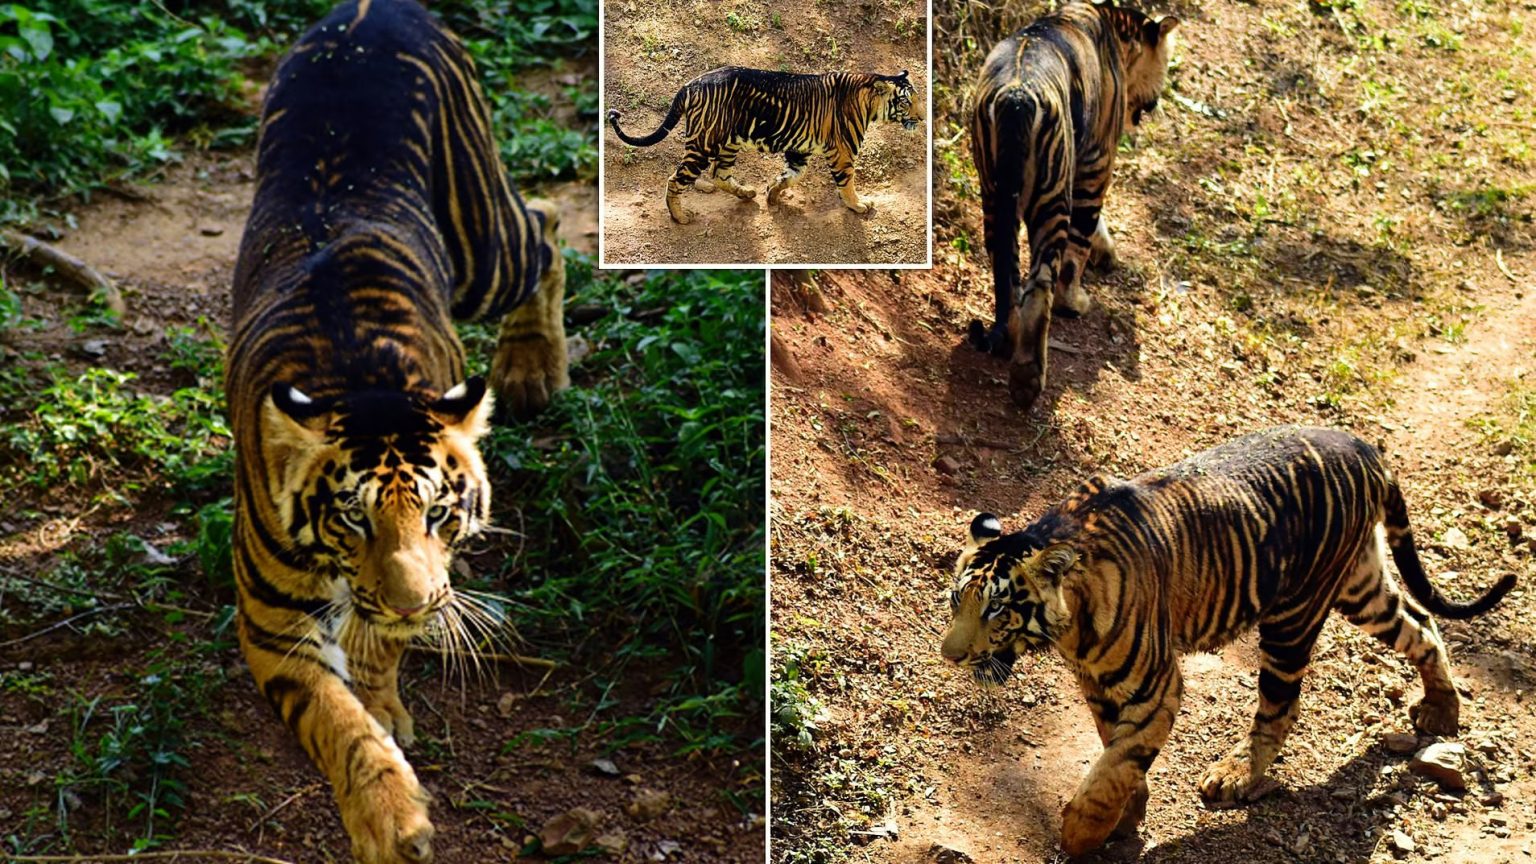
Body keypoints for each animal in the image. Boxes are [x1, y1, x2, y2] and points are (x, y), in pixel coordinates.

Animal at [226, 1, 567, 860]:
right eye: (352, 518)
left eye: (440, 513)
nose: (418, 606)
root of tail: (375, 7)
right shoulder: (272, 624)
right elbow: (334, 719)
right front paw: (390, 818)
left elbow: (377, 650)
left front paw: (385, 701)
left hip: (485, 251)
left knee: (546, 223)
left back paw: (531, 365)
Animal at [606, 66, 920, 224]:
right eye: (906, 102)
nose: (920, 117)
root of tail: (690, 83)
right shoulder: (843, 151)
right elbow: (847, 182)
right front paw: (858, 205)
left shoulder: (800, 149)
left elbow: (793, 175)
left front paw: (772, 193)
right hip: (704, 143)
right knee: (676, 179)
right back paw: (680, 216)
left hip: (728, 142)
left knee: (719, 175)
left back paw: (747, 192)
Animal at [940, 426, 1514, 856]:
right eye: (954, 599)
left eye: (996, 608)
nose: (951, 655)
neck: (1070, 626)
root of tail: (1365, 447)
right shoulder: (1099, 684)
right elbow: (1114, 751)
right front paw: (1128, 816)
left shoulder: (1155, 685)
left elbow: (1115, 763)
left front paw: (1081, 835)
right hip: (1361, 587)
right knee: (1421, 623)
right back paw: (1441, 709)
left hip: (1294, 617)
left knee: (1279, 708)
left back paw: (1234, 775)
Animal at [967, 0, 1178, 411]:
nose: (1158, 101)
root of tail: (1016, 97)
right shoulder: (1097, 161)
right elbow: (1080, 243)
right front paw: (1077, 300)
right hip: (1051, 199)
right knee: (1042, 283)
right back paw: (1028, 378)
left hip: (993, 193)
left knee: (1006, 271)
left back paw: (1010, 342)